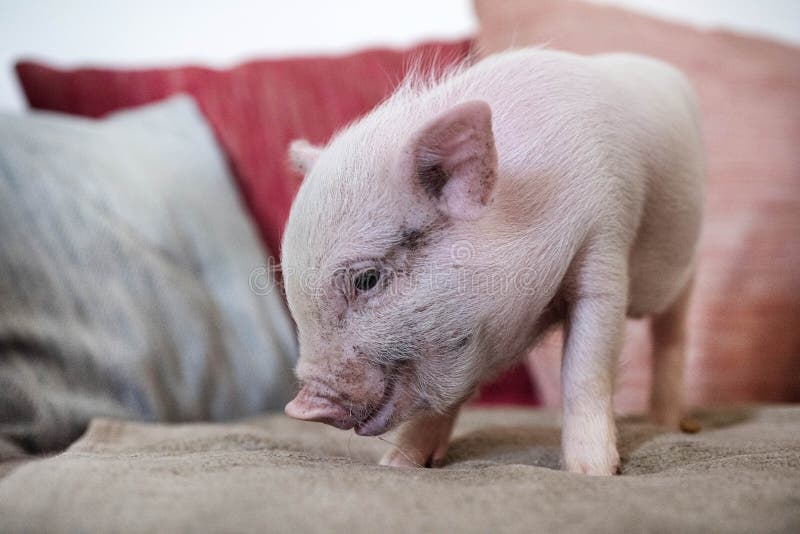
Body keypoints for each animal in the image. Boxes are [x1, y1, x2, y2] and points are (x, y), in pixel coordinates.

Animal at [281, 47, 704, 476]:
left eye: (367, 279)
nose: (299, 407)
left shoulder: (605, 240)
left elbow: (585, 367)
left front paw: (591, 472)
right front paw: (397, 464)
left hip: (687, 266)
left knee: (672, 334)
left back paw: (666, 424)